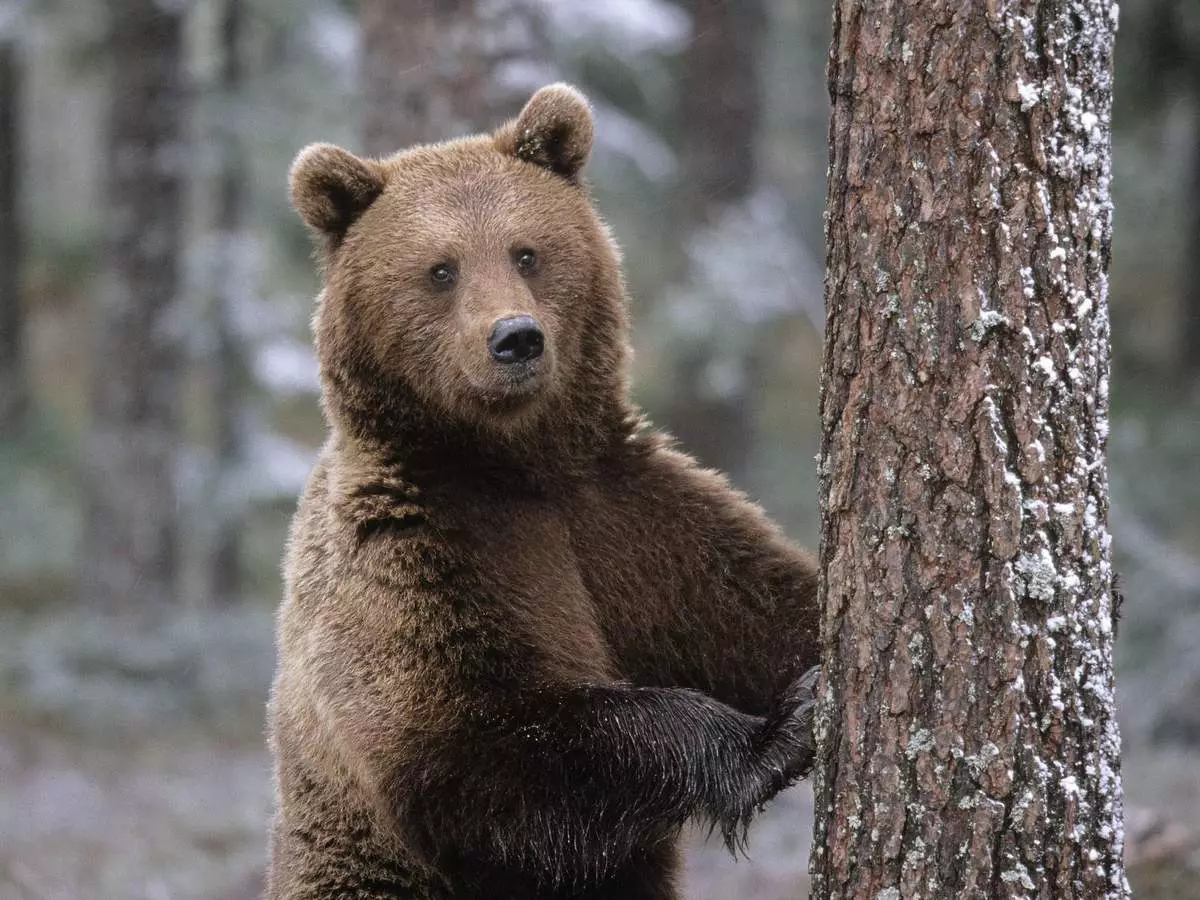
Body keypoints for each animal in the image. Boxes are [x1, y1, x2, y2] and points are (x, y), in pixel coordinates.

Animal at [267, 84, 820, 900]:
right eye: (441, 269)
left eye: (526, 251)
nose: (515, 339)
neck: (513, 462)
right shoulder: (416, 553)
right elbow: (485, 743)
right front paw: (775, 734)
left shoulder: (631, 521)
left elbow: (761, 605)